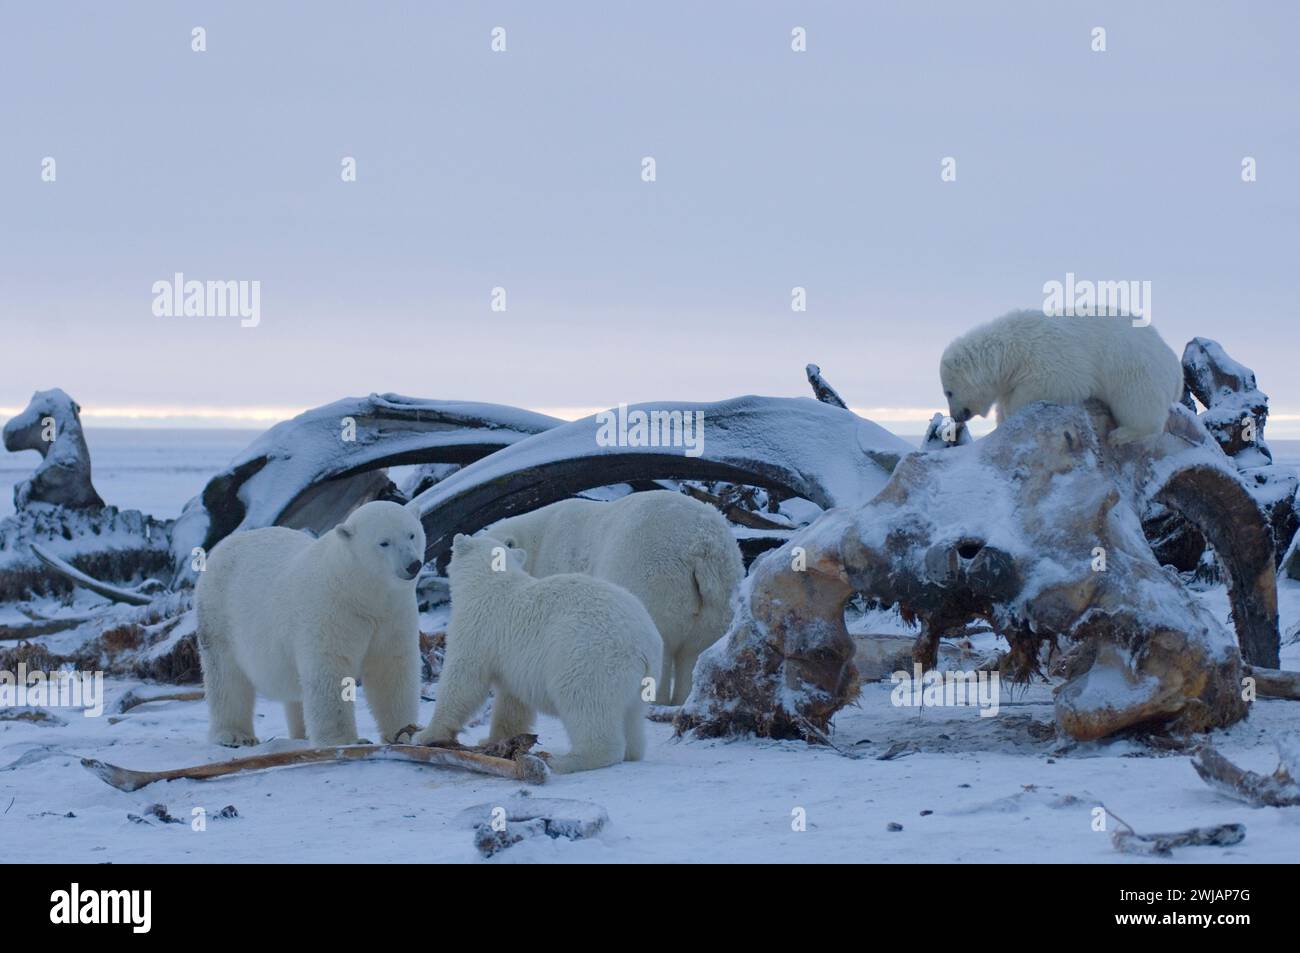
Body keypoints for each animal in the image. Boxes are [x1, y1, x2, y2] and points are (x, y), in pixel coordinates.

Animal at [195, 500, 425, 747]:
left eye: (411, 534)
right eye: (384, 542)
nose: (413, 564)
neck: (359, 590)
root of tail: (225, 543)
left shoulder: (393, 615)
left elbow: (391, 668)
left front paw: (404, 733)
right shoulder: (332, 611)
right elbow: (330, 669)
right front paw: (343, 741)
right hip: (217, 614)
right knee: (226, 676)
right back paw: (235, 735)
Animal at [413, 532, 662, 774]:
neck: (487, 582)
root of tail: (644, 644)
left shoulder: (477, 628)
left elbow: (463, 680)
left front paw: (424, 735)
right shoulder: (513, 660)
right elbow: (512, 701)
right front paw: (495, 739)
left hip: (589, 655)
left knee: (584, 701)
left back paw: (565, 760)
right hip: (639, 682)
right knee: (631, 716)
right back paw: (631, 751)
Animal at [939, 309, 1185, 445]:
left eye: (949, 392)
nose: (956, 416)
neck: (1012, 348)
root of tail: (1177, 371)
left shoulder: (1049, 353)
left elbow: (1059, 381)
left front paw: (1014, 409)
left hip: (1136, 368)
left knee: (1137, 402)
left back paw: (1123, 434)